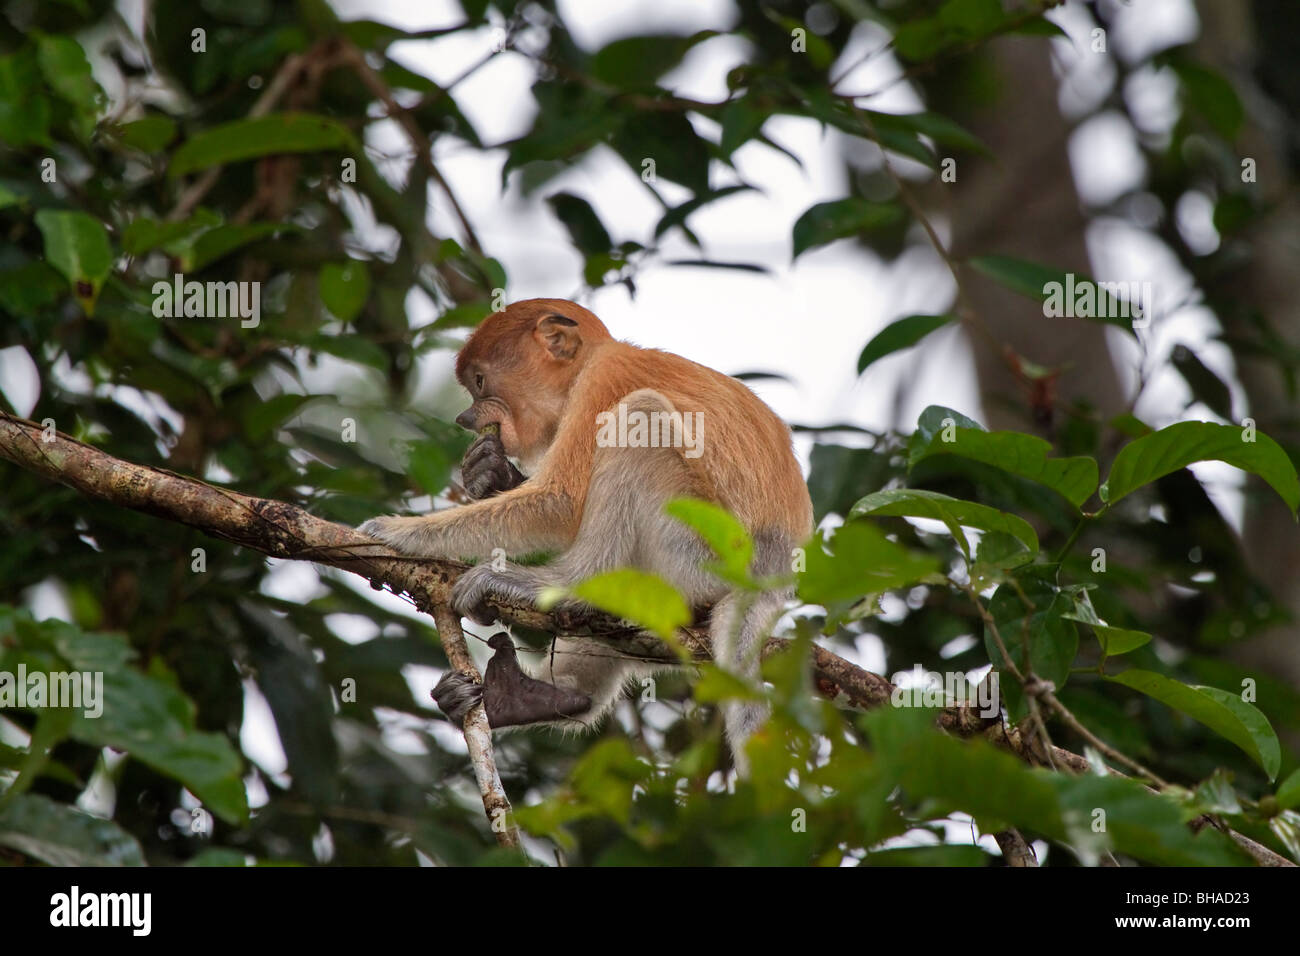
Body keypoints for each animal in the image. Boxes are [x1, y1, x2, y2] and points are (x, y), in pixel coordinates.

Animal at [359, 298, 813, 774]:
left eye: (480, 382)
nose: (466, 418)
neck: (591, 360)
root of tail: (770, 575)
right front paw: (490, 471)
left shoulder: (602, 382)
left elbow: (562, 503)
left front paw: (392, 532)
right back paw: (529, 697)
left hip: (701, 556)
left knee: (640, 418)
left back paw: (563, 587)